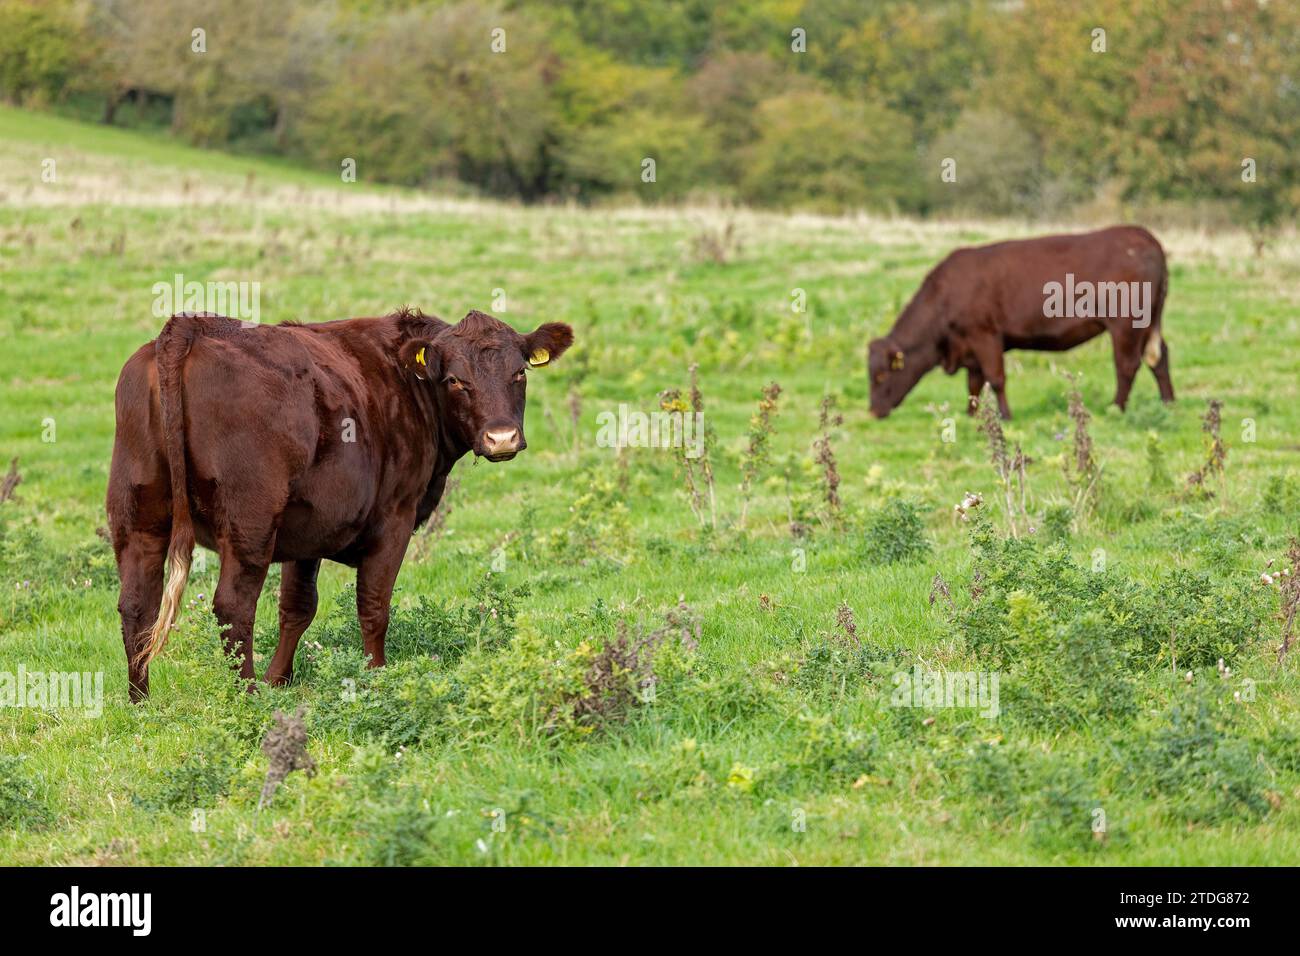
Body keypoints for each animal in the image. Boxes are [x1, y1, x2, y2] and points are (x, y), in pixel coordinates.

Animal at [106, 308, 574, 701]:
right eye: (456, 380)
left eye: (519, 373)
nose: (502, 437)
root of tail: (191, 328)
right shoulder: (394, 518)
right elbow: (374, 605)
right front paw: (376, 676)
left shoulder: (308, 526)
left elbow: (297, 607)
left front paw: (280, 679)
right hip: (249, 524)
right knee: (232, 608)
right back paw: (248, 697)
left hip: (137, 517)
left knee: (137, 604)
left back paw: (142, 701)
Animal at [867, 225, 1173, 420]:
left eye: (881, 376)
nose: (872, 412)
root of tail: (1142, 234)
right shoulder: (970, 346)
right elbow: (974, 383)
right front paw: (972, 414)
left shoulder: (985, 335)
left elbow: (995, 378)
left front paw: (1005, 415)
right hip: (1149, 322)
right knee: (1159, 357)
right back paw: (1169, 402)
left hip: (1125, 325)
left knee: (1127, 365)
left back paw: (1116, 408)